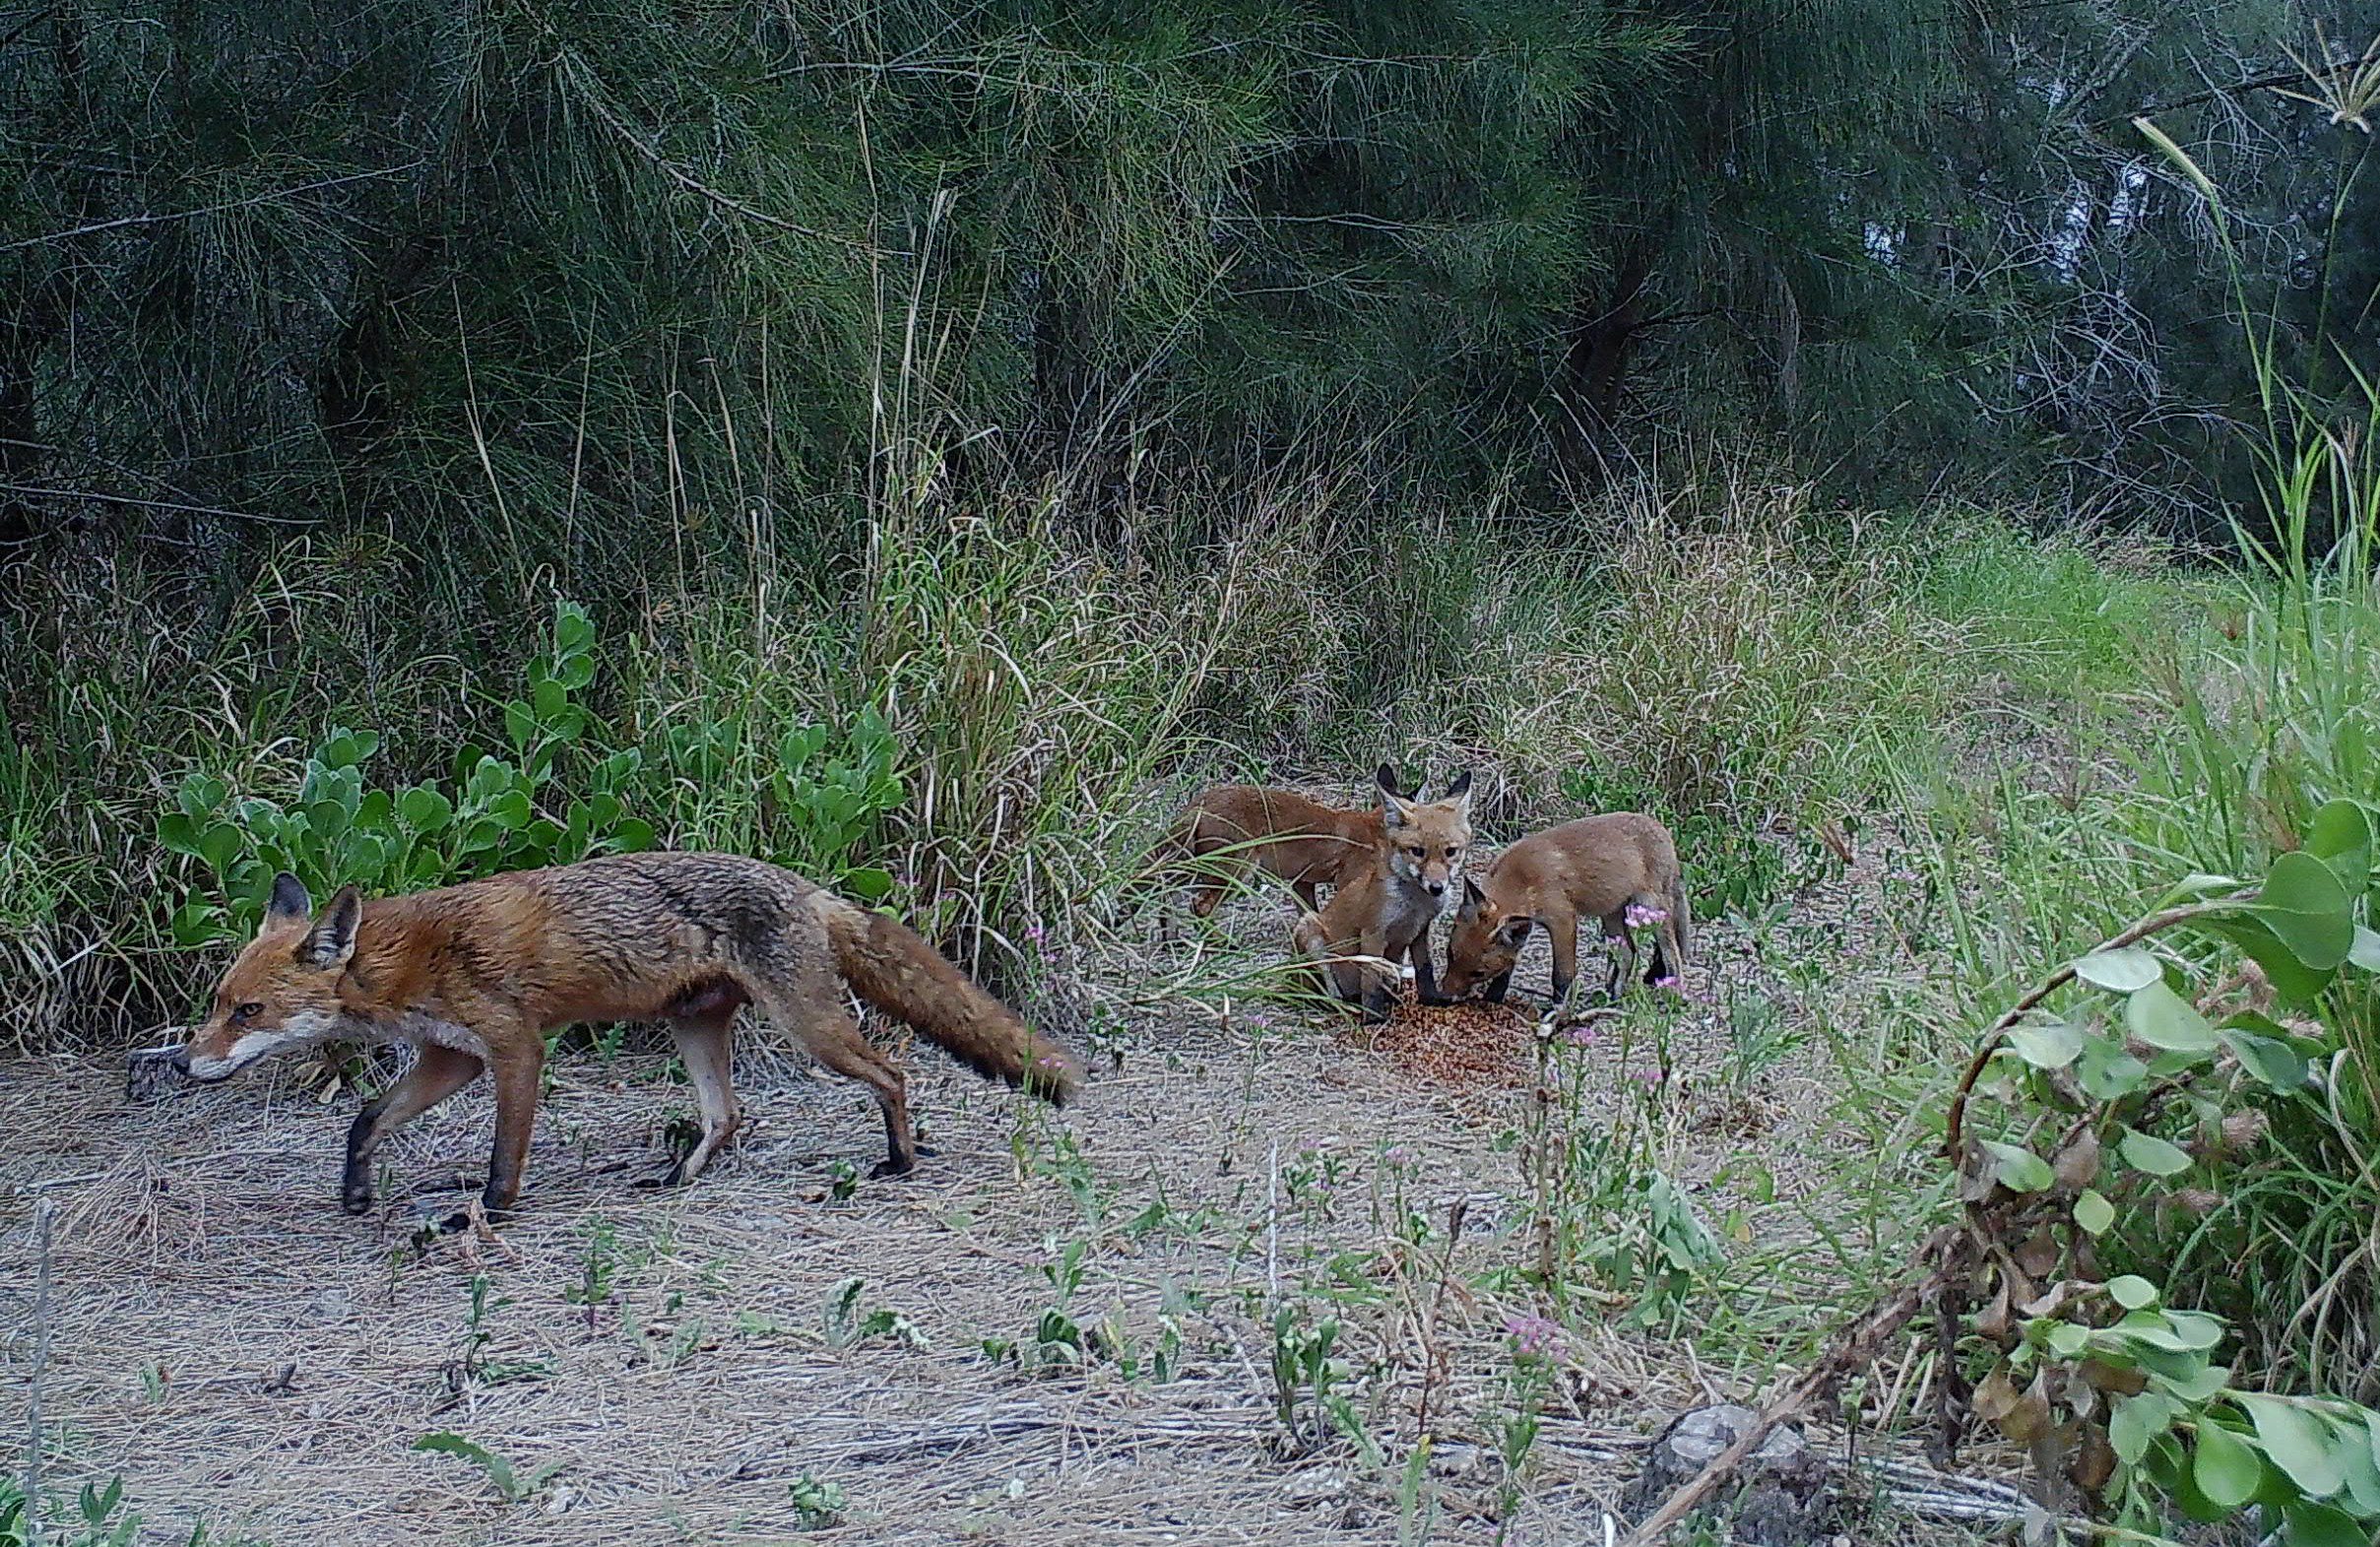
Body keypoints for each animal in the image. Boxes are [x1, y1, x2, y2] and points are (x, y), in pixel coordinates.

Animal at [170, 851, 1085, 1233]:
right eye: (218, 1004)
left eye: (246, 1011)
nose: (183, 1062)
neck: (406, 958)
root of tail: (806, 887)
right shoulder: (450, 1057)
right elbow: (365, 1118)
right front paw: (357, 1190)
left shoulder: (513, 1048)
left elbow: (504, 1158)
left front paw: (483, 1216)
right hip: (695, 1027)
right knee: (726, 1116)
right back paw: (677, 1178)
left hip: (813, 1030)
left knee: (891, 1072)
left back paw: (899, 1158)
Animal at [1171, 765, 1409, 918]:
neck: (1374, 830)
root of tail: (1201, 801)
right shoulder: (1348, 878)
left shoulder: (1301, 881)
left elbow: (1309, 916)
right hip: (1235, 871)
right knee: (1200, 906)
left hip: (1188, 866)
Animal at [1289, 771, 1474, 1023]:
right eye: (1417, 851)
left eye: (1450, 852)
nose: (1437, 887)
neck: (1415, 904)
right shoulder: (1373, 931)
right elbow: (1371, 980)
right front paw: (1373, 1018)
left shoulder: (1420, 930)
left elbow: (1425, 969)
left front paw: (1430, 1000)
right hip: (1311, 932)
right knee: (1330, 990)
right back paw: (1341, 1005)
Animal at [1439, 812, 1691, 1006]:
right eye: (1450, 954)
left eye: (1478, 973)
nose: (1444, 997)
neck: (1521, 877)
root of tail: (1662, 828)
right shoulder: (1524, 922)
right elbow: (1509, 964)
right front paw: (1494, 997)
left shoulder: (1562, 918)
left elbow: (1562, 974)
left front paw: (1557, 1009)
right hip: (1611, 916)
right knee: (1628, 953)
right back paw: (1613, 997)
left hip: (1650, 910)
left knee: (1672, 955)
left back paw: (1674, 995)